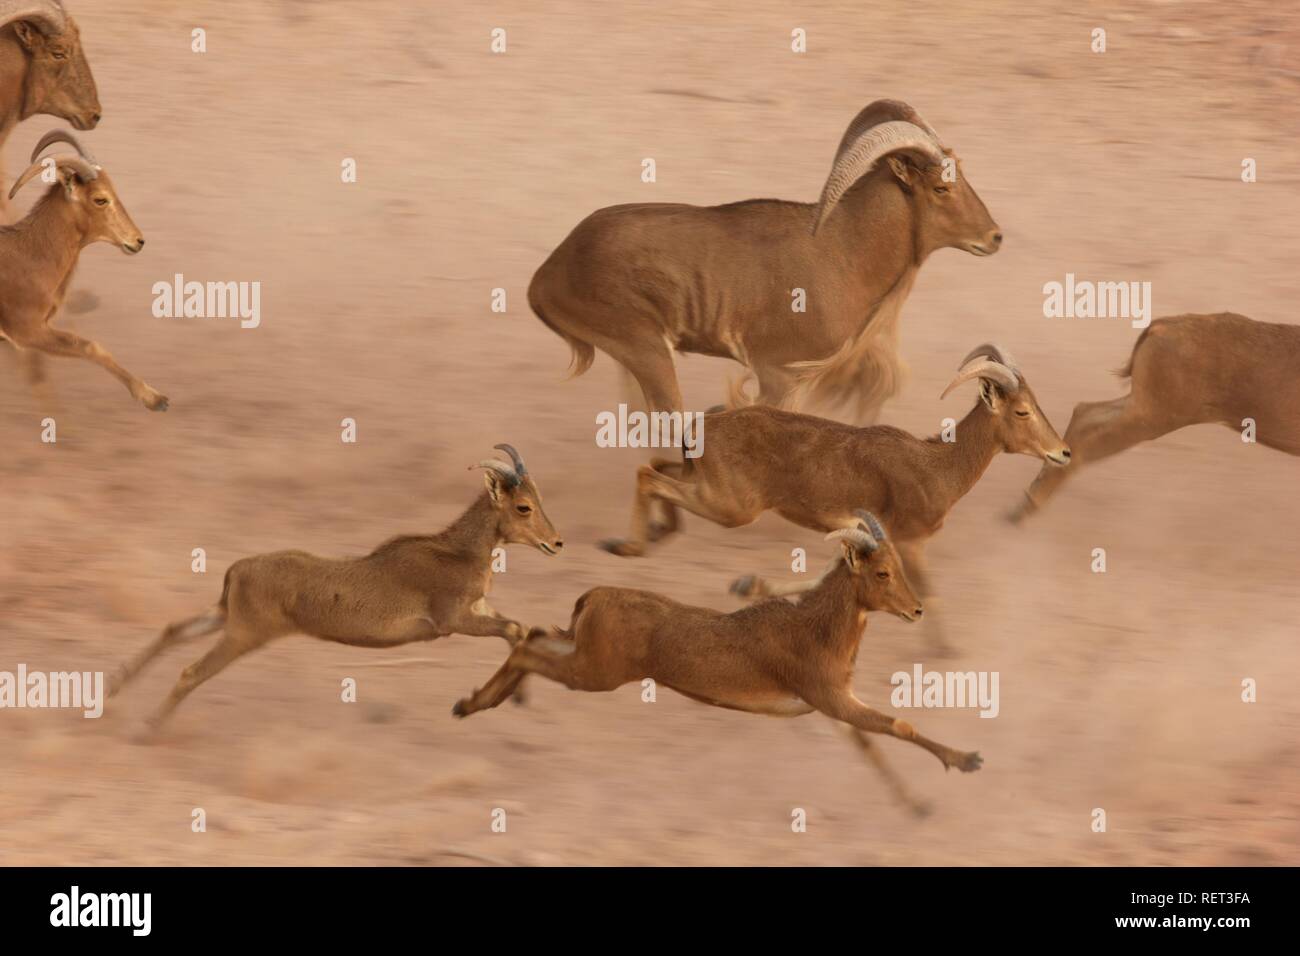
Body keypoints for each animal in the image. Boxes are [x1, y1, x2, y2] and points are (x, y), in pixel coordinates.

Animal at [0, 129, 165, 410]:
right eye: (100, 199)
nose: (137, 241)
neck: (29, 254)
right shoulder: (27, 330)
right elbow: (91, 347)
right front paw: (153, 398)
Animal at [109, 445, 565, 729]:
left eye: (539, 499)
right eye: (523, 507)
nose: (556, 543)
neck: (459, 551)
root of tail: (236, 571)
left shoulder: (481, 610)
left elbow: (523, 630)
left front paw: (509, 698)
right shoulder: (453, 620)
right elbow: (515, 631)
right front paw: (479, 702)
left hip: (226, 617)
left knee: (173, 630)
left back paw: (114, 686)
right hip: (244, 633)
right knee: (191, 671)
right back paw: (147, 728)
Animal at [454, 514, 980, 817]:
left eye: (898, 566)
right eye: (882, 572)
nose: (916, 610)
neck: (815, 627)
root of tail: (593, 597)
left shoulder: (833, 705)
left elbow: (872, 747)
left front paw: (918, 804)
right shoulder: (832, 699)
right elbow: (899, 725)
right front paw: (966, 760)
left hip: (584, 657)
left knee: (534, 636)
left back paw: (488, 699)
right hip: (595, 674)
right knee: (528, 648)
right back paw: (474, 704)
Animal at [528, 99, 1001, 425]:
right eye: (941, 188)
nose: (994, 237)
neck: (845, 251)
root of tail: (547, 275)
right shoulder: (779, 373)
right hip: (644, 347)